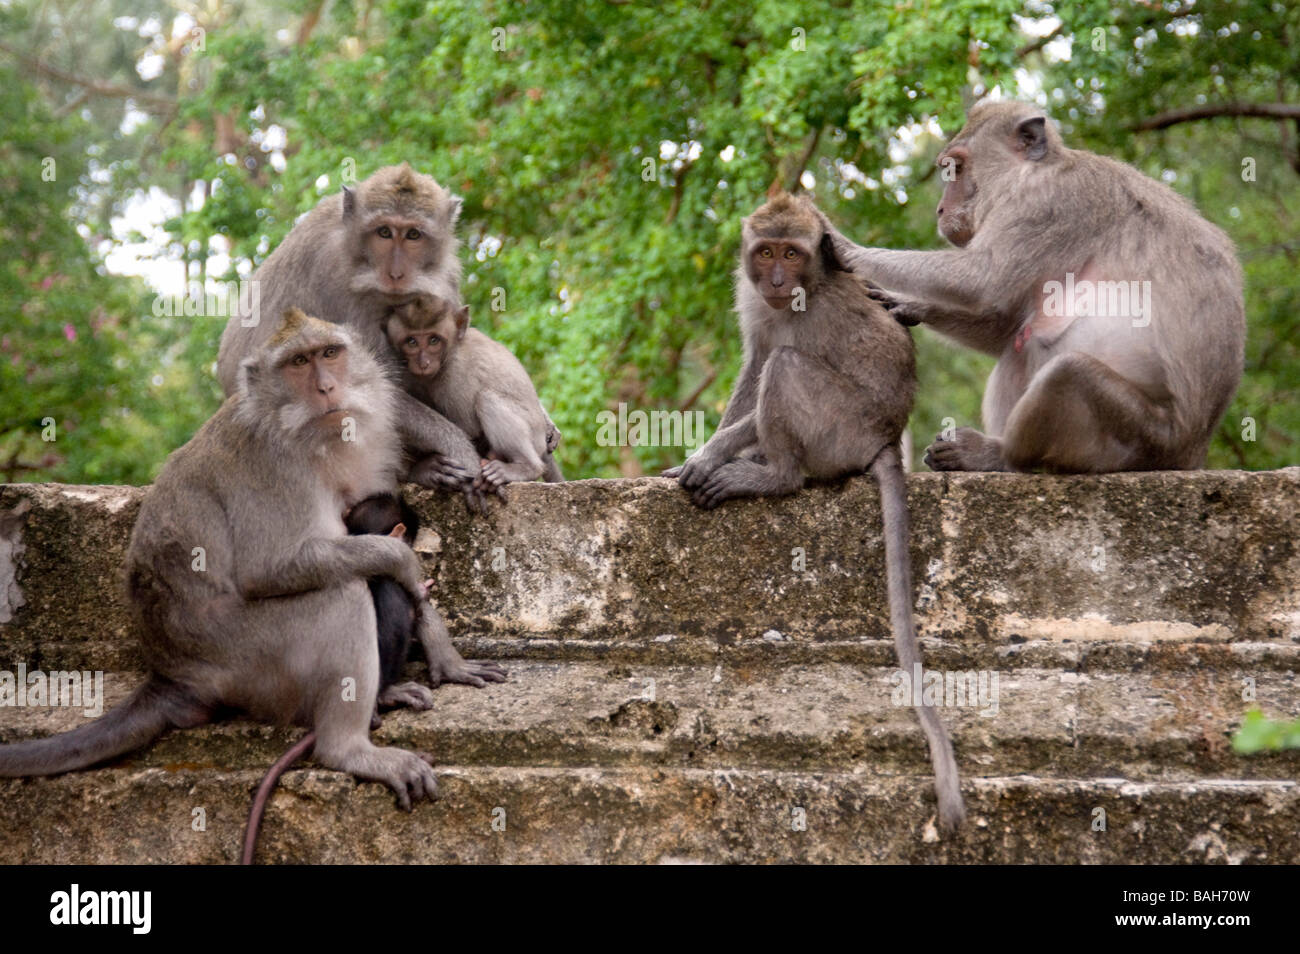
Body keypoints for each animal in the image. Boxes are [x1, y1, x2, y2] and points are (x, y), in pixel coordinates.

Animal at [0, 311, 507, 836]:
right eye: (298, 363)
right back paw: (350, 750)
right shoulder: (276, 466)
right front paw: (402, 560)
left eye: (330, 353)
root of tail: (172, 677)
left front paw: (446, 656)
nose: (327, 387)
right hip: (247, 661)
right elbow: (272, 569)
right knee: (341, 595)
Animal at [215, 163, 492, 508]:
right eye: (384, 232)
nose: (396, 273)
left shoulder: (445, 273)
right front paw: (461, 449)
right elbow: (372, 384)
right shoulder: (334, 274)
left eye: (413, 234)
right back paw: (421, 471)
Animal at [384, 294, 565, 492]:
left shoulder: (454, 377)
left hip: (534, 434)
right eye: (412, 342)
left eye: (433, 340)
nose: (423, 362)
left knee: (487, 399)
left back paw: (526, 467)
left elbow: (469, 427)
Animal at [663, 193, 965, 833]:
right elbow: (753, 364)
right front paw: (704, 449)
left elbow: (774, 367)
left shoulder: (813, 316)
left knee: (787, 366)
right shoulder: (754, 300)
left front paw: (711, 454)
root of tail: (885, 437)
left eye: (793, 253)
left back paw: (771, 474)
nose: (778, 280)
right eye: (766, 252)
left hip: (840, 428)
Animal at [820, 100, 1245, 474]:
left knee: (1067, 372)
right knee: (1019, 343)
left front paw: (848, 250)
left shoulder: (1048, 206)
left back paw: (999, 457)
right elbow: (1002, 324)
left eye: (956, 168)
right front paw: (909, 306)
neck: (1035, 171)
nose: (941, 209)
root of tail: (1191, 452)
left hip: (1142, 438)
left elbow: (981, 278)